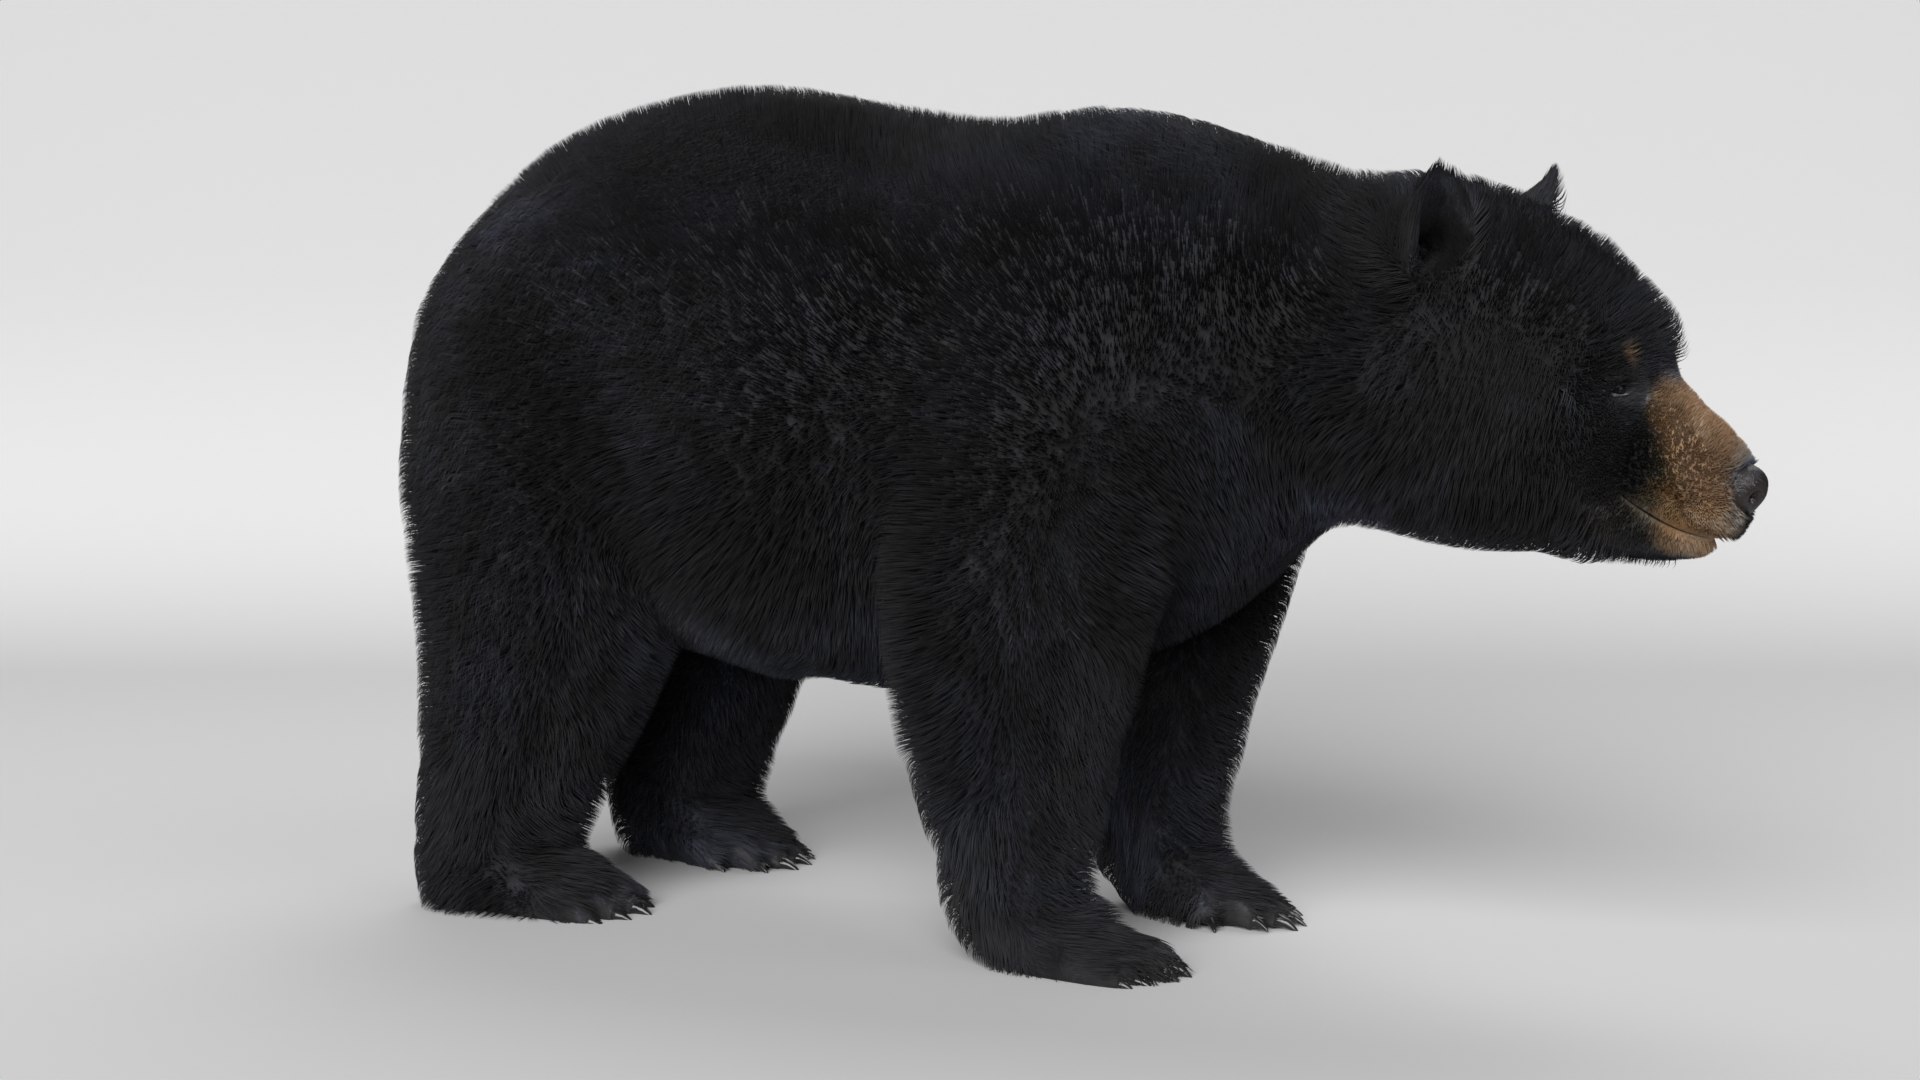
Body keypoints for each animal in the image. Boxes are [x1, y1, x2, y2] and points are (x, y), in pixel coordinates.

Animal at [400, 86, 1766, 987]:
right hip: (553, 430)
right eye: (1620, 367)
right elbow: (1019, 667)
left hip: (725, 492)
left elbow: (1194, 689)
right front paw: (1090, 941)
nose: (1749, 482)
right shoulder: (1051, 438)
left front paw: (1226, 892)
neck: (1262, 370)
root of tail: (485, 221)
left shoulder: (1227, 518)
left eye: (1669, 347)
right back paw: (541, 879)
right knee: (533, 645)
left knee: (724, 666)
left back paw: (727, 831)